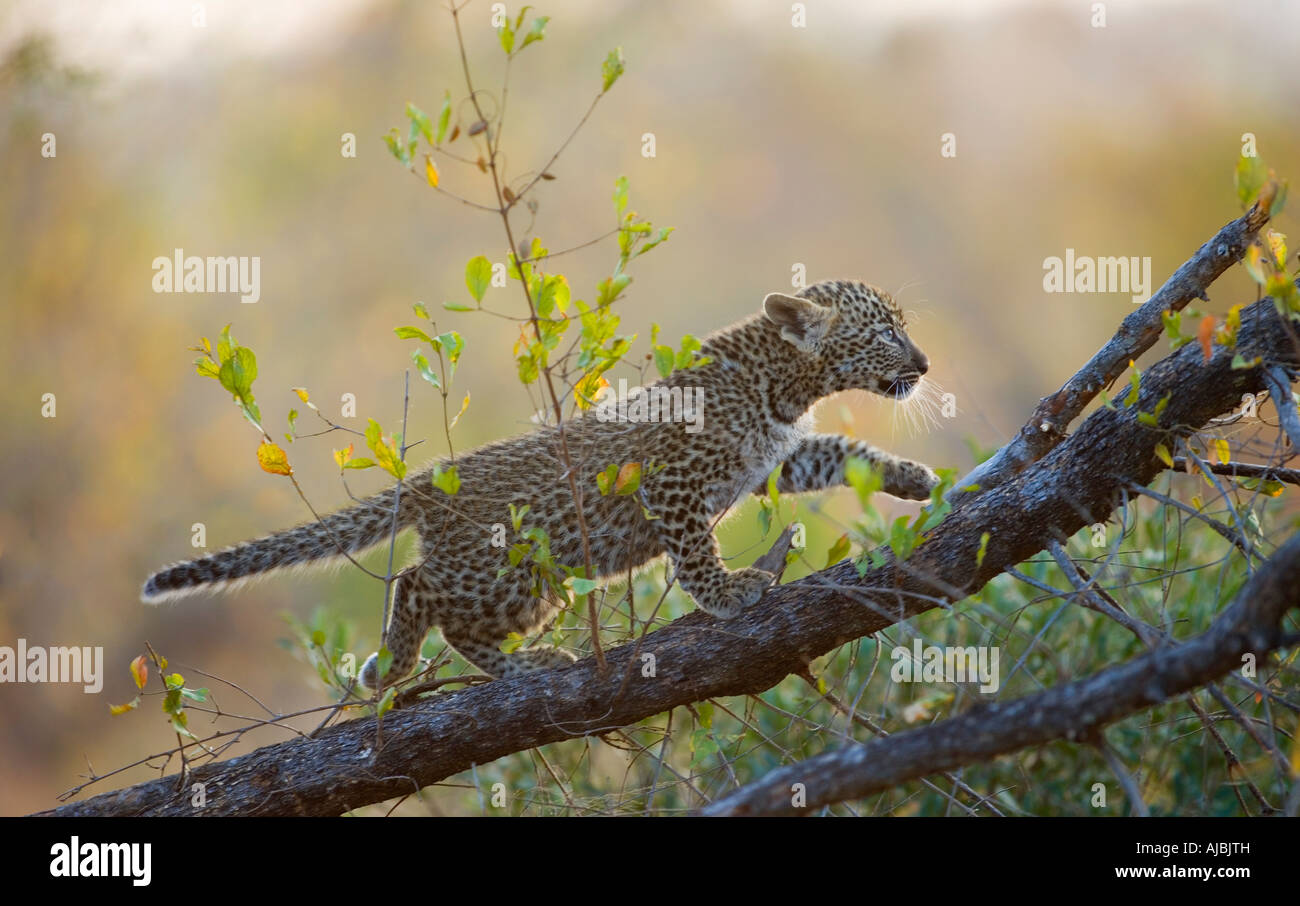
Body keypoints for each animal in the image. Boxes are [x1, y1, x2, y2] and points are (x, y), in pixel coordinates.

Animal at [142, 279, 939, 687]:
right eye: (885, 333)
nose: (926, 363)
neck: (784, 384)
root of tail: (427, 482)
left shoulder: (775, 458)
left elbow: (841, 454)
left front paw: (915, 478)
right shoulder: (672, 482)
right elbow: (693, 554)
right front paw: (729, 593)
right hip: (512, 574)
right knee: (420, 588)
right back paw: (435, 664)